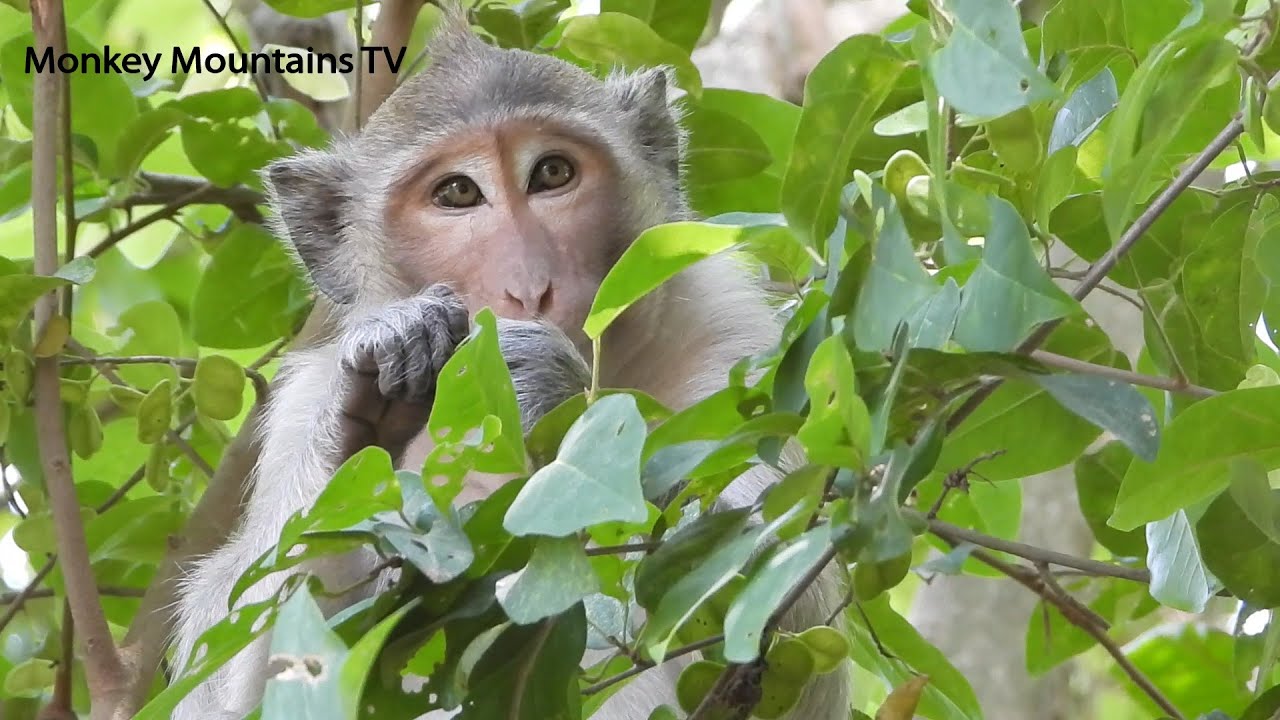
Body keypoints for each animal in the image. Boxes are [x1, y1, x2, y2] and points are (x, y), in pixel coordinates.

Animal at [170, 14, 848, 720]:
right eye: (457, 192)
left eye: (551, 173)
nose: (529, 287)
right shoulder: (296, 409)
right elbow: (250, 671)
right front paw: (371, 399)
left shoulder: (730, 338)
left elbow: (768, 607)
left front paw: (547, 386)